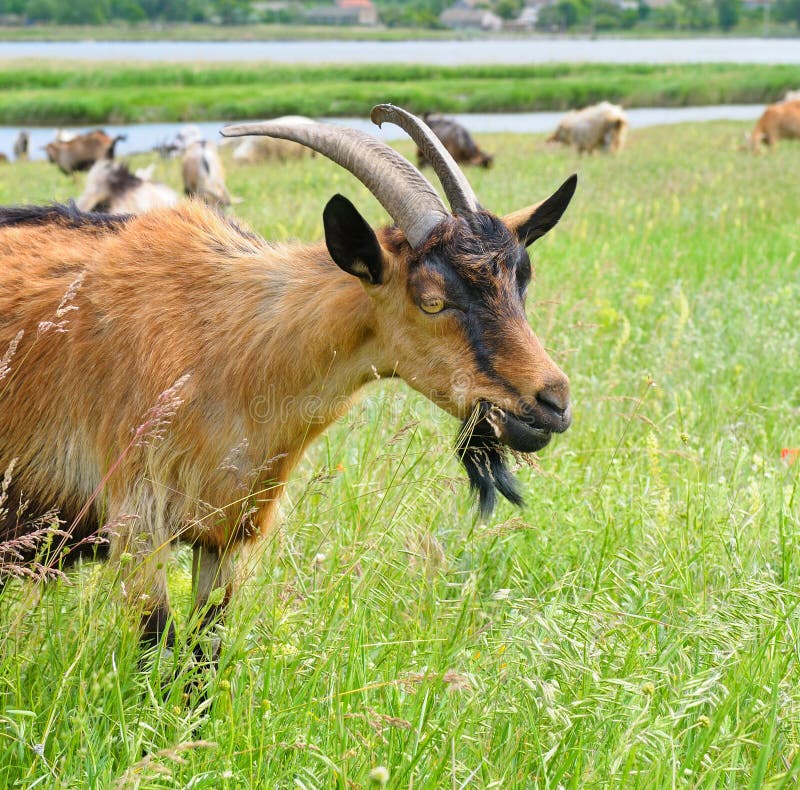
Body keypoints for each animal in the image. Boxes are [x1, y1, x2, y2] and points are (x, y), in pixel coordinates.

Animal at [0, 104, 576, 660]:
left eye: (521, 283)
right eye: (431, 301)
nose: (553, 403)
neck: (227, 339)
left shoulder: (227, 532)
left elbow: (202, 659)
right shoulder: (137, 524)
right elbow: (157, 654)